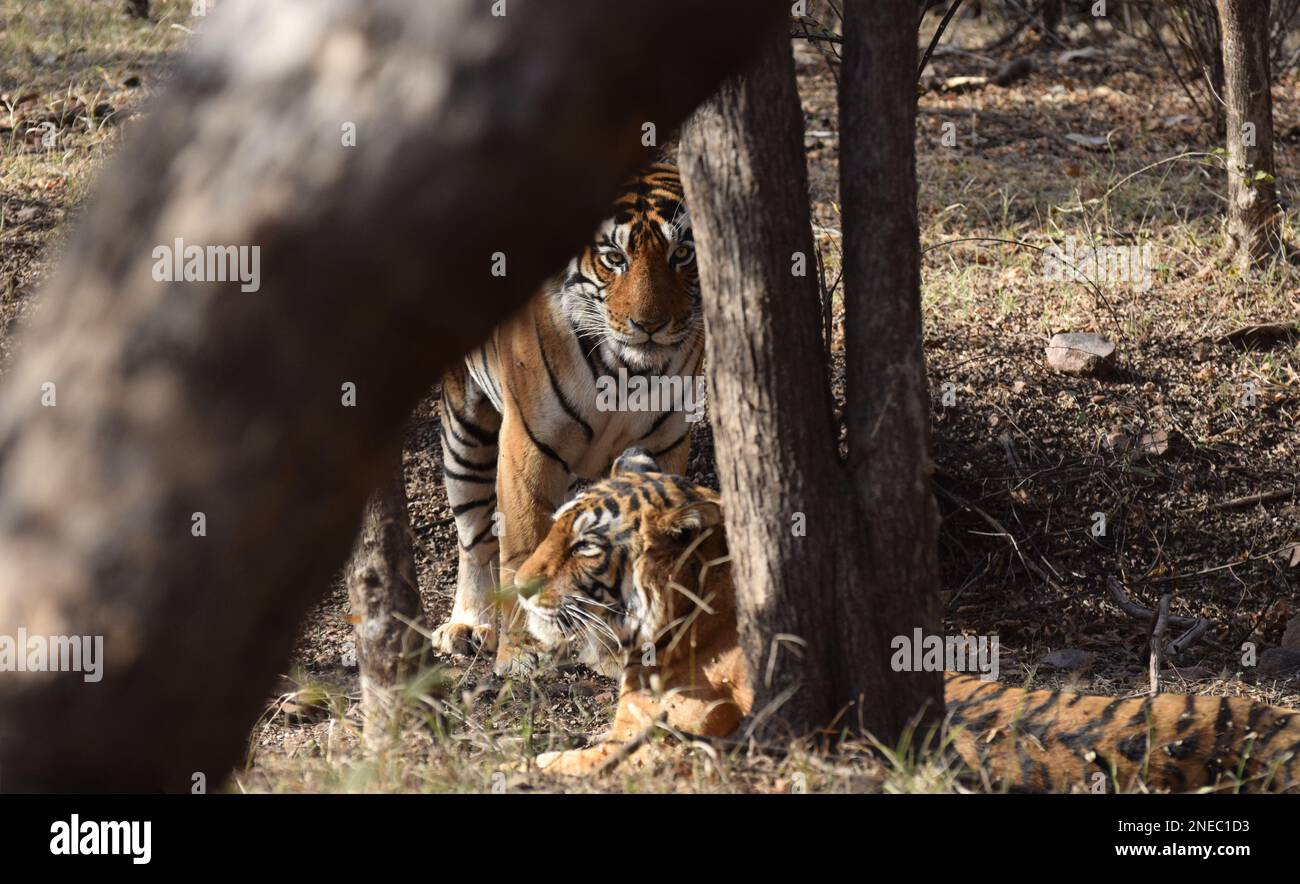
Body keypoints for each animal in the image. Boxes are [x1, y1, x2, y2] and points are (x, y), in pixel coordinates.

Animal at [432, 162, 704, 675]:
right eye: (614, 258)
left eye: (682, 254)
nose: (650, 325)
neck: (626, 372)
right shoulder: (527, 446)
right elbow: (521, 544)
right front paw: (522, 653)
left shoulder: (665, 445)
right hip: (465, 434)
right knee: (474, 539)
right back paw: (469, 626)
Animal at [510, 447, 1300, 791]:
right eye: (554, 528)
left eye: (584, 546)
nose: (517, 587)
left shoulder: (662, 738)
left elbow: (583, 758)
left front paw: (533, 766)